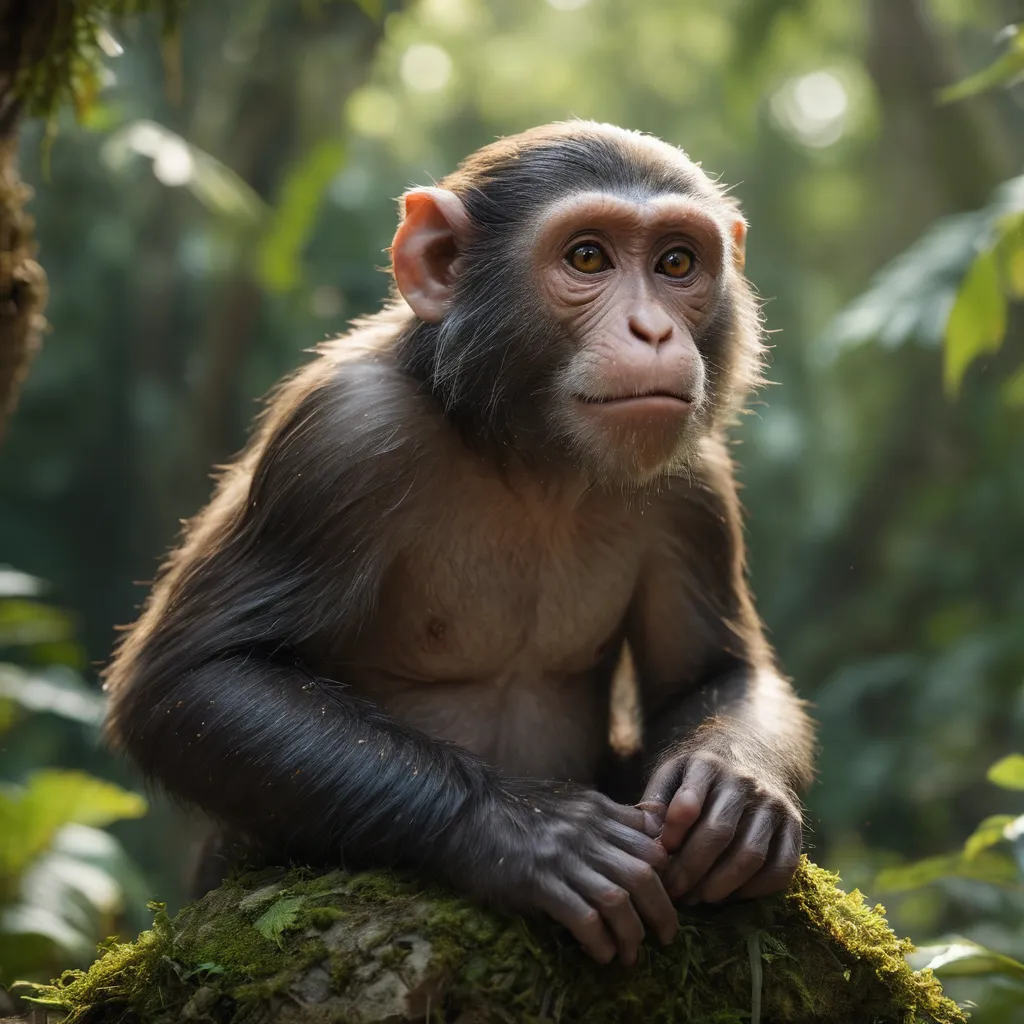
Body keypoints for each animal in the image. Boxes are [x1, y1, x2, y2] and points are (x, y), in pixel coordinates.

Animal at [104, 121, 815, 968]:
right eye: (587, 258)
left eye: (677, 264)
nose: (653, 330)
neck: (526, 455)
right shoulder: (342, 438)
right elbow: (193, 679)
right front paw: (525, 832)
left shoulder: (694, 486)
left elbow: (712, 670)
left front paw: (731, 791)